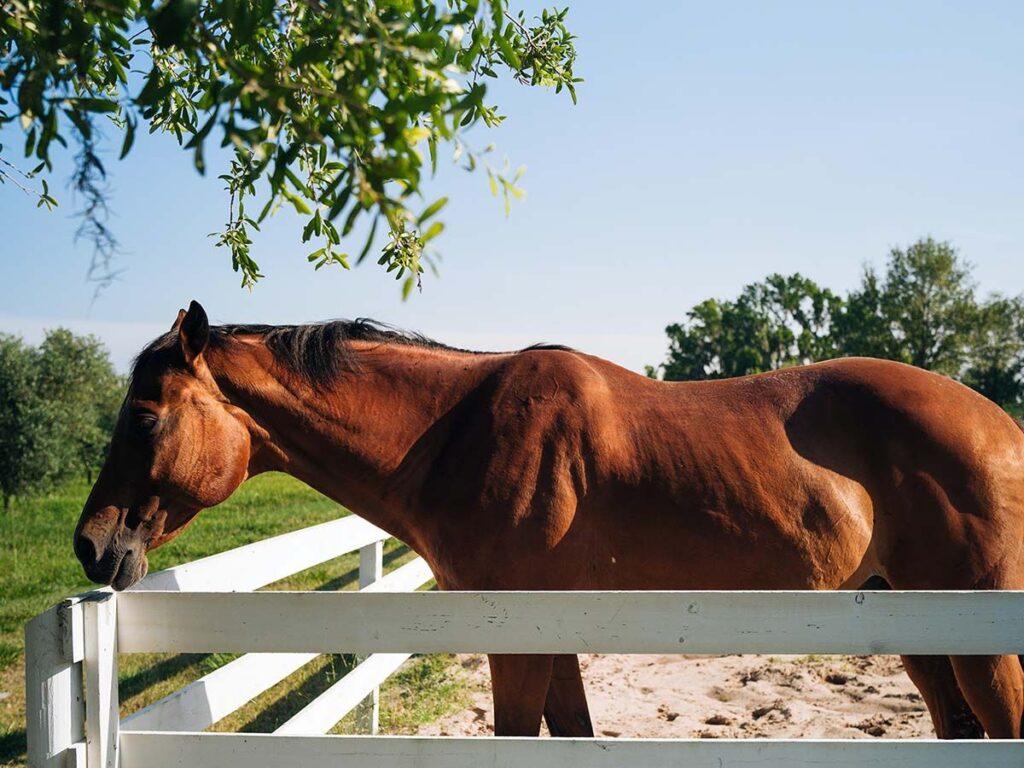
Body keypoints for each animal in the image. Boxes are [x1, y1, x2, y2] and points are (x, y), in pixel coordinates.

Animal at [74, 300, 1024, 739]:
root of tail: (1001, 426)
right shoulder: (550, 631)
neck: (458, 431)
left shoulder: (519, 640)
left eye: (147, 418)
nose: (92, 545)